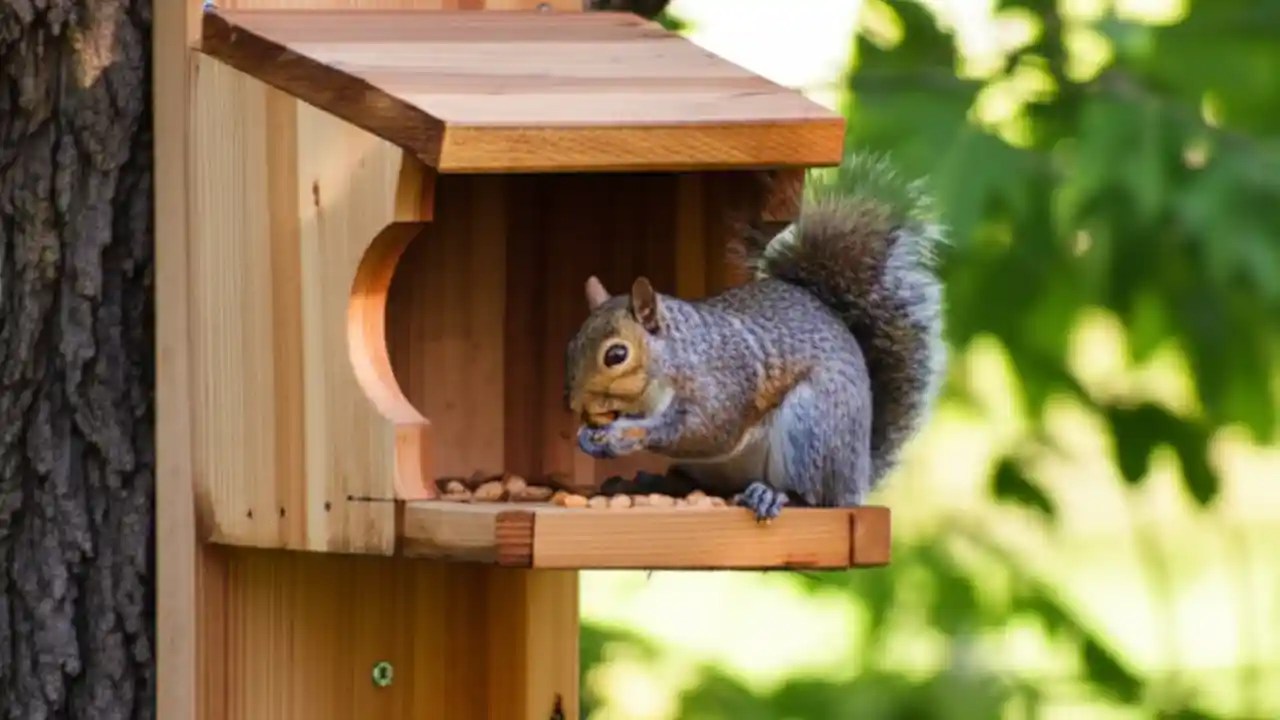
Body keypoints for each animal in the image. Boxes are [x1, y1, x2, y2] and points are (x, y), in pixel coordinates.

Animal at [563, 154, 947, 522]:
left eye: (616, 355)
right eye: (570, 346)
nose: (575, 406)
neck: (673, 358)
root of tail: (855, 481)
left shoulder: (721, 382)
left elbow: (704, 429)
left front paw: (621, 435)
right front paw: (588, 437)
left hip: (811, 428)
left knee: (811, 497)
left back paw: (774, 496)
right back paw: (652, 481)